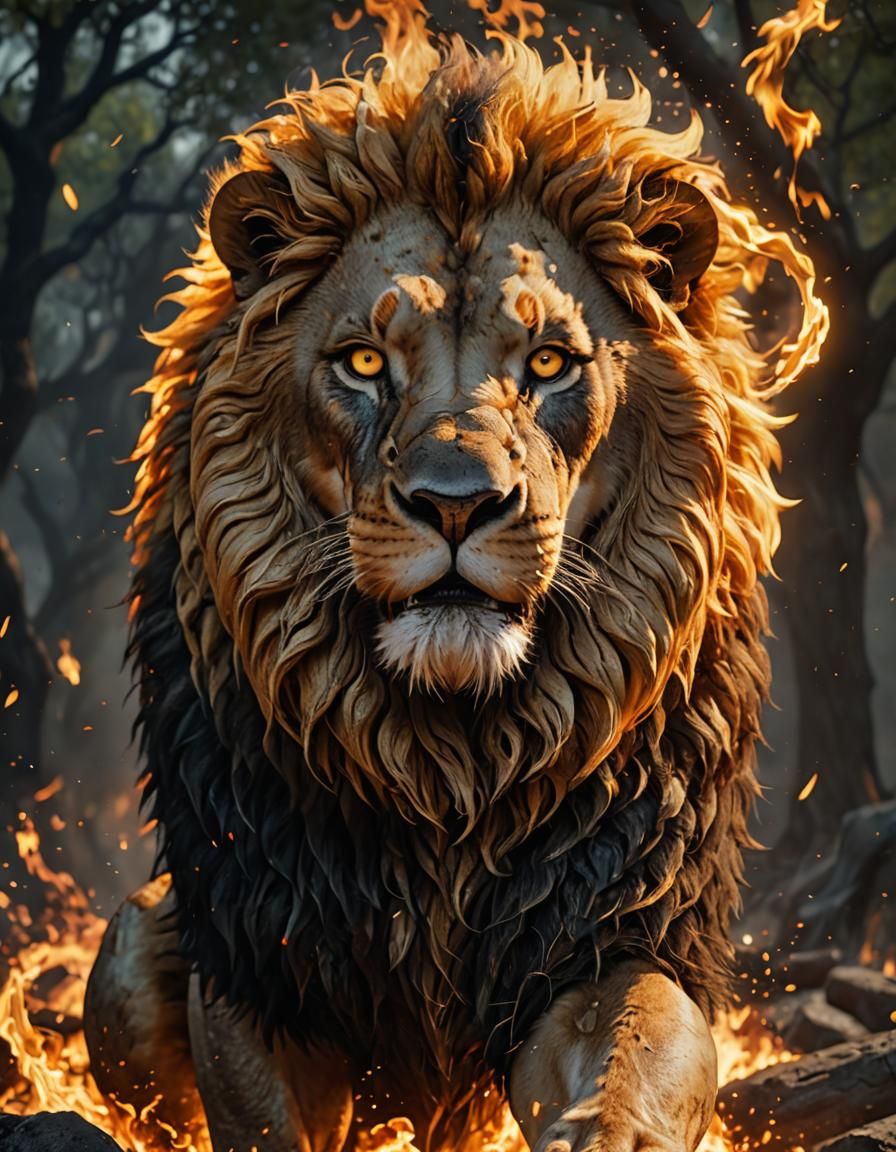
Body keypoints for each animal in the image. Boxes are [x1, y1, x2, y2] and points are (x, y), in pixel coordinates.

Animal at [84, 13, 827, 1152]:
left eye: (551, 364)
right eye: (361, 363)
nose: (454, 502)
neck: (452, 756)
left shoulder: (608, 924)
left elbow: (635, 1057)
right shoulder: (261, 960)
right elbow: (261, 1119)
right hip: (130, 940)